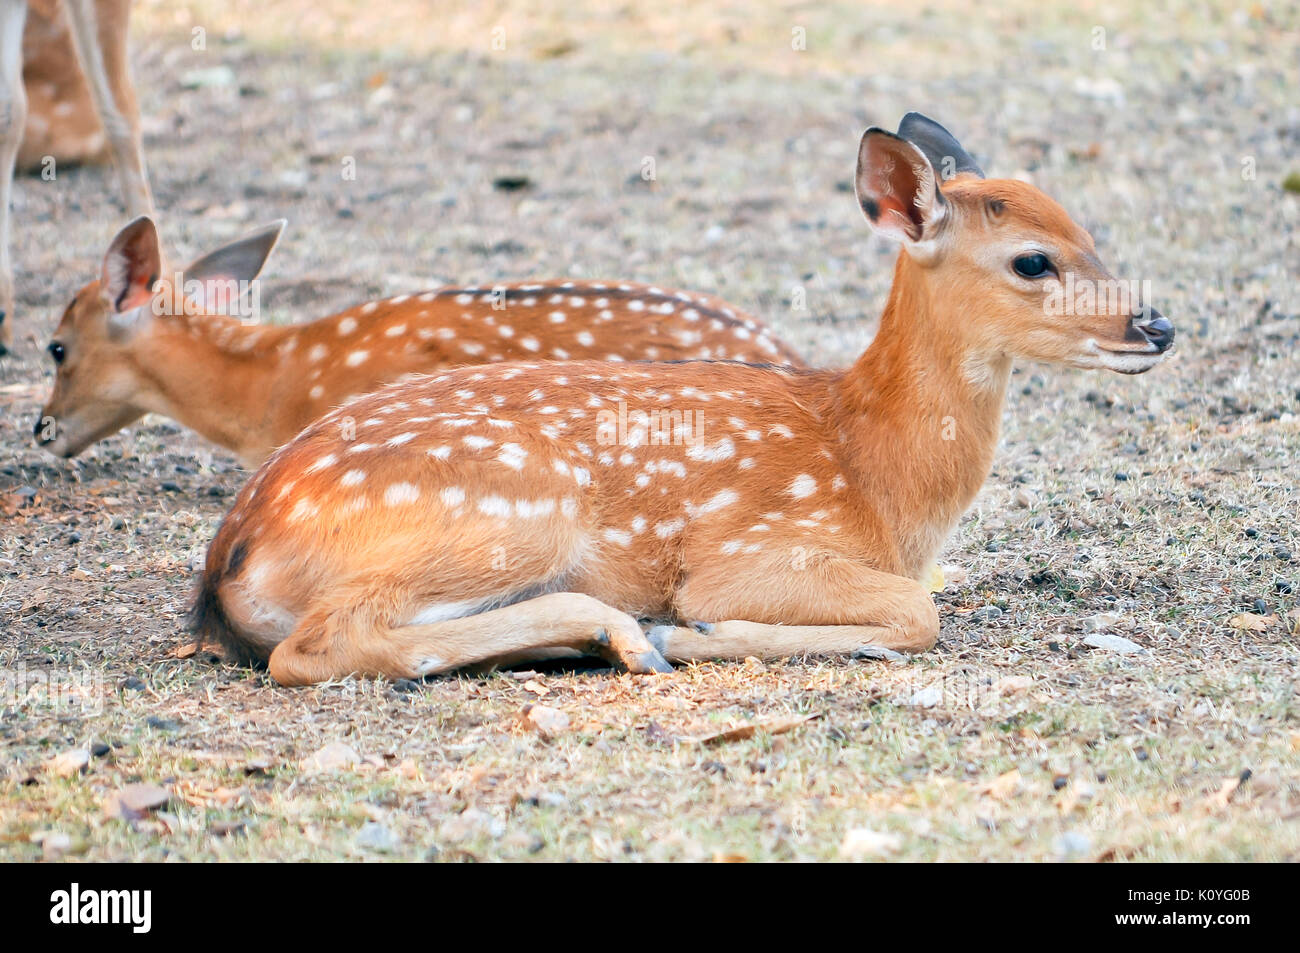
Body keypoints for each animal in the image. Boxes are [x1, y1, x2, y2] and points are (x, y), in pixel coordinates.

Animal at [190, 114, 1175, 687]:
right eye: (1033, 260)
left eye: (1087, 229)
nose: (1158, 325)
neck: (876, 474)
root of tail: (231, 557)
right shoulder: (748, 547)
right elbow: (917, 612)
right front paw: (705, 626)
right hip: (509, 506)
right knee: (313, 648)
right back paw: (631, 633)